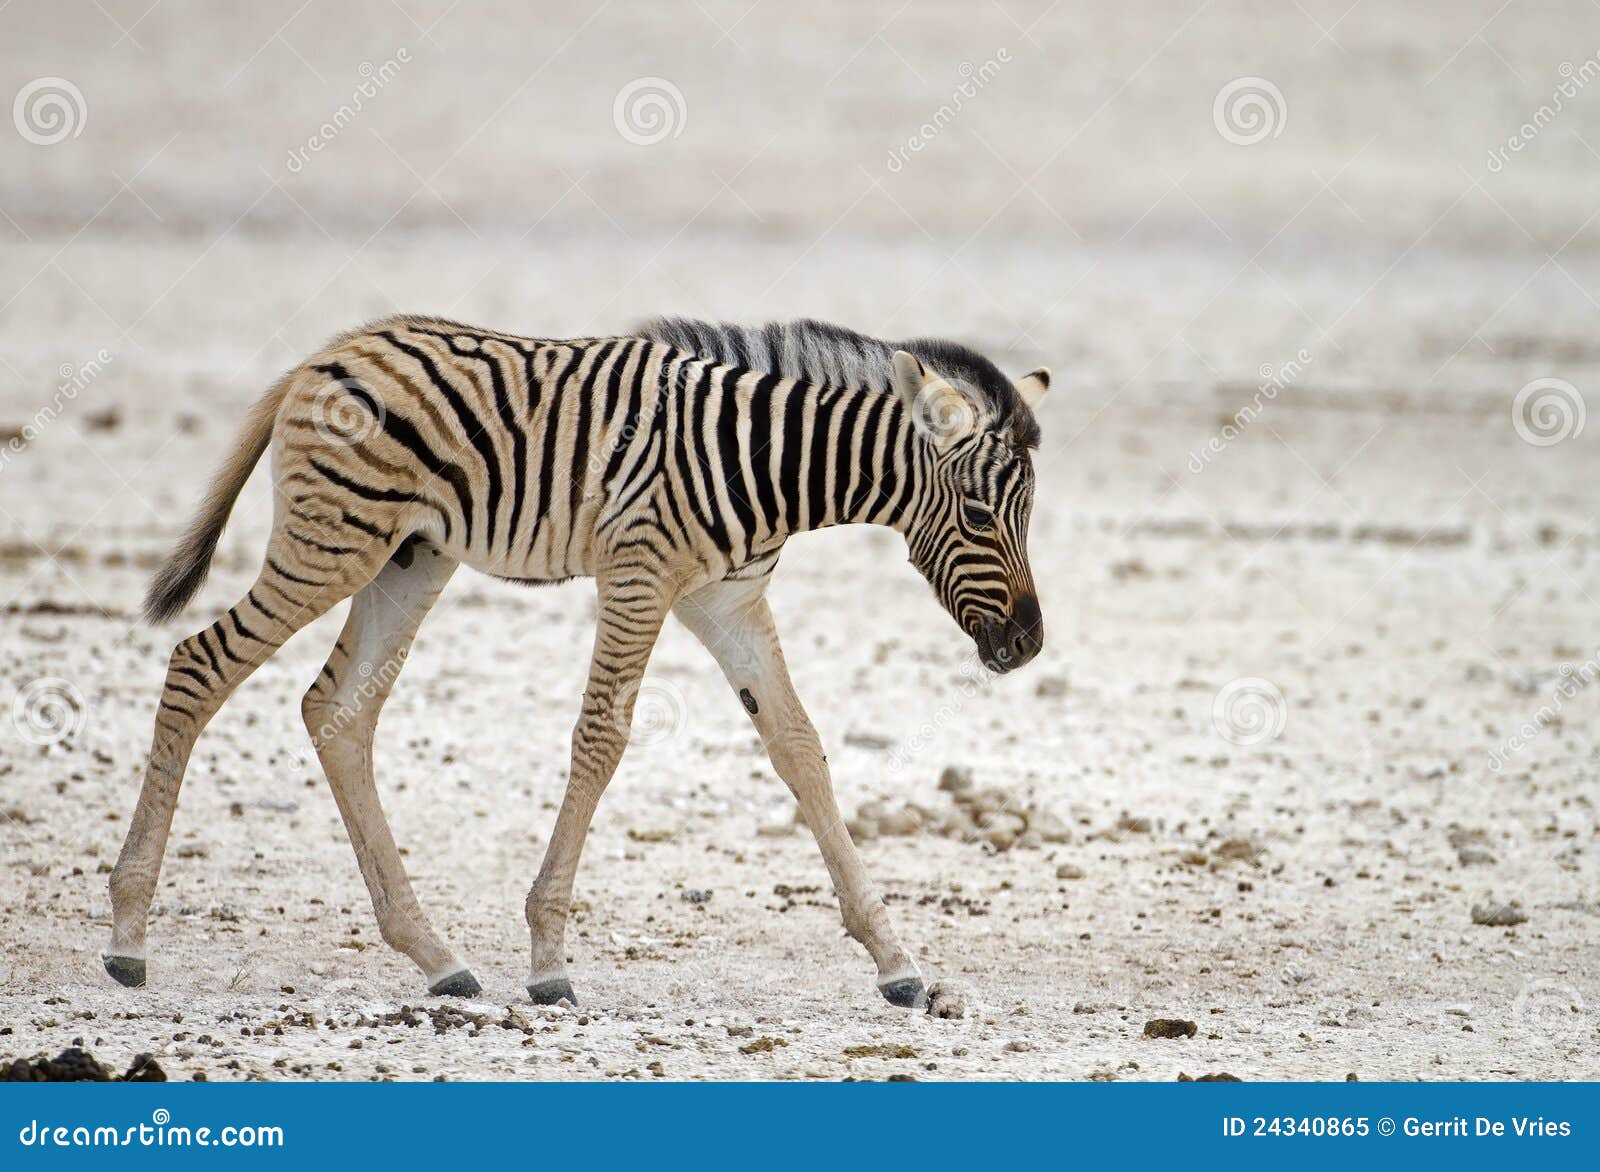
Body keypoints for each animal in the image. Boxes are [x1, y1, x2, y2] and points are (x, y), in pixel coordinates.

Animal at [103, 313, 1049, 1009]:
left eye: (1027, 515)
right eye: (976, 514)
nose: (1029, 644)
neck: (767, 467)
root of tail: (325, 354)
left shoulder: (729, 602)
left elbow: (800, 751)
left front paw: (896, 961)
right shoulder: (640, 574)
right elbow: (601, 739)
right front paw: (550, 960)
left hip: (410, 557)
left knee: (335, 711)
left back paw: (435, 954)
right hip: (332, 543)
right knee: (198, 664)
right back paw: (127, 939)